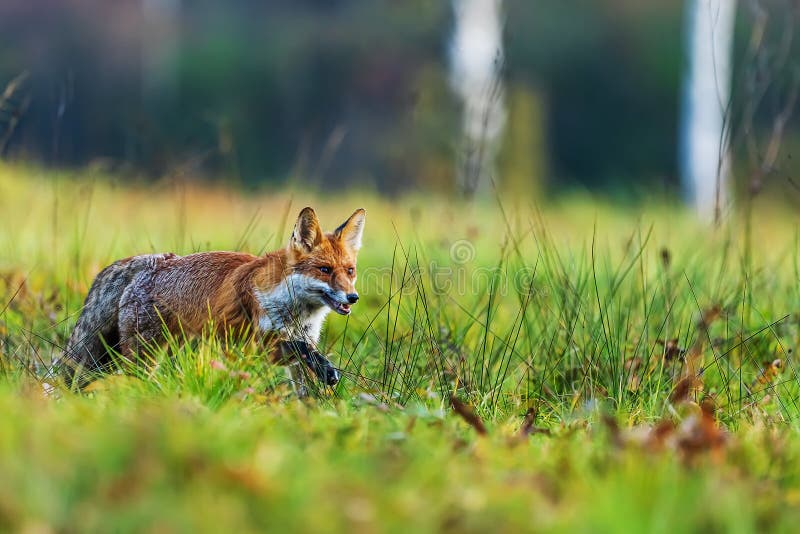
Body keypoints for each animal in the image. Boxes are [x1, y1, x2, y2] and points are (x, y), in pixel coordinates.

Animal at [56, 207, 365, 395]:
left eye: (350, 271)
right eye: (324, 269)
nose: (353, 297)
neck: (295, 312)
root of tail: (150, 261)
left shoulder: (302, 345)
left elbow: (307, 386)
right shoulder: (252, 346)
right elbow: (300, 349)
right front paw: (327, 371)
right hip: (144, 357)